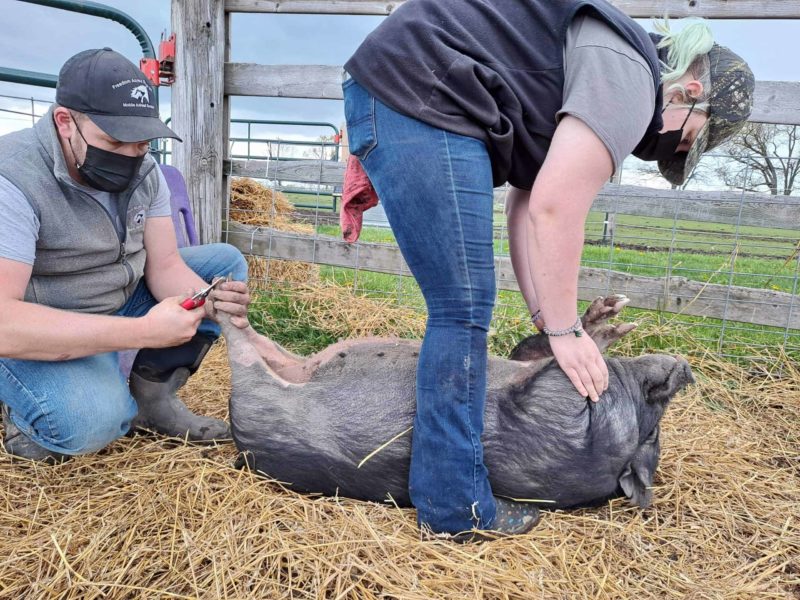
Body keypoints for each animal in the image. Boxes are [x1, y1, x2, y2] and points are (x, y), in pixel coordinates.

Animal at [220, 295, 694, 510]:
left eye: (653, 426)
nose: (684, 369)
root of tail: (238, 435)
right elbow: (529, 352)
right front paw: (612, 314)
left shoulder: (551, 420)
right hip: (289, 366)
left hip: (262, 394)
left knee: (244, 350)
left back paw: (225, 307)